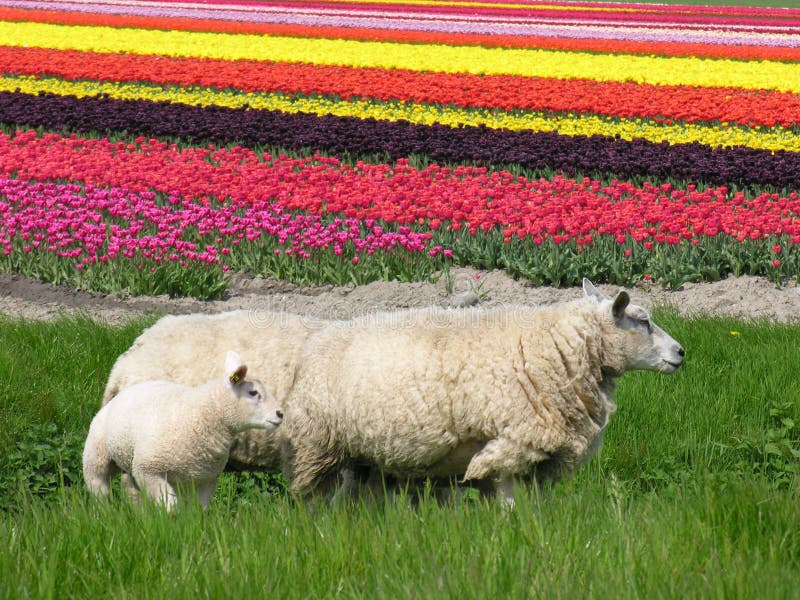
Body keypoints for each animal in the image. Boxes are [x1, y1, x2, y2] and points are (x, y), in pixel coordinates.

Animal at [83, 350, 284, 511]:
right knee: (99, 489)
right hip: (96, 456)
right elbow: (170, 508)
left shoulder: (205, 480)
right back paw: (104, 513)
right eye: (253, 393)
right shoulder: (149, 470)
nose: (280, 414)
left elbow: (198, 512)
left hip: (131, 464)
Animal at [282, 279, 685, 506]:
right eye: (643, 321)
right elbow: (508, 501)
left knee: (354, 501)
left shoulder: (541, 457)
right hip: (318, 445)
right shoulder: (513, 441)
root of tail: (317, 340)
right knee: (311, 500)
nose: (681, 352)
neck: (561, 347)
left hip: (363, 454)